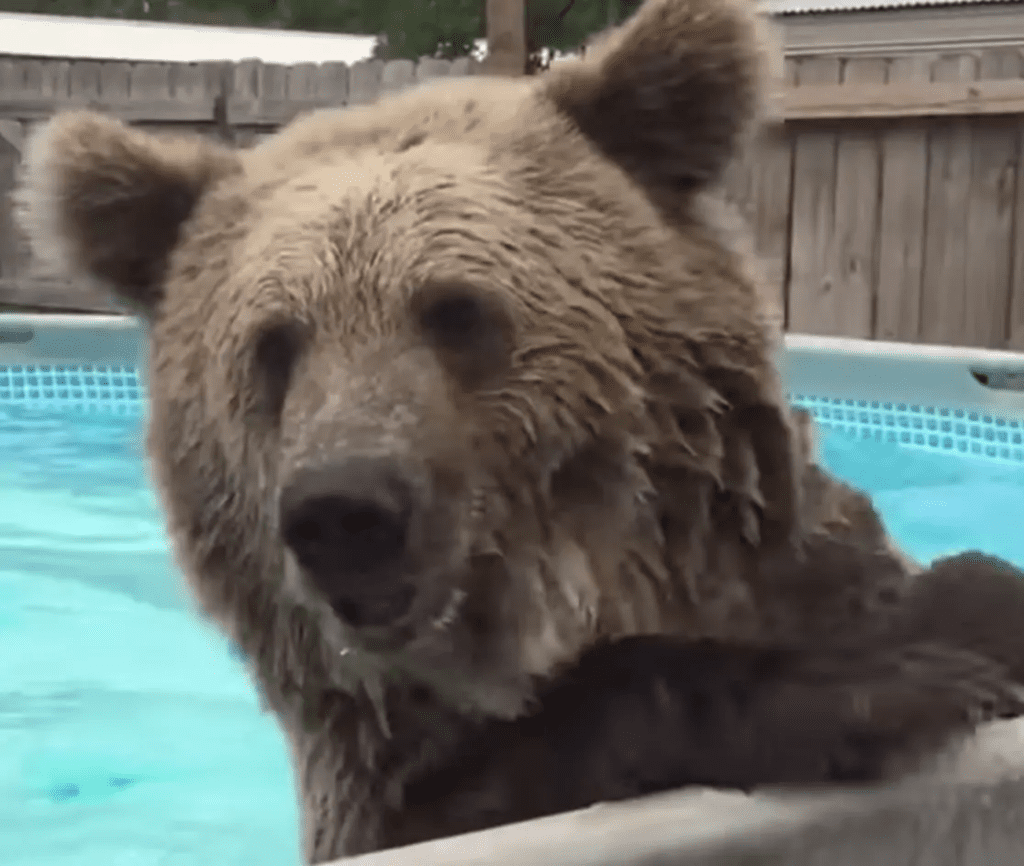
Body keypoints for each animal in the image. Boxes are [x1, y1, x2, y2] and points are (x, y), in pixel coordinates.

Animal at [14, 0, 1024, 858]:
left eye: (455, 311)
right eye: (274, 346)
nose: (345, 510)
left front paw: (963, 614)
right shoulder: (382, 784)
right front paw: (890, 685)